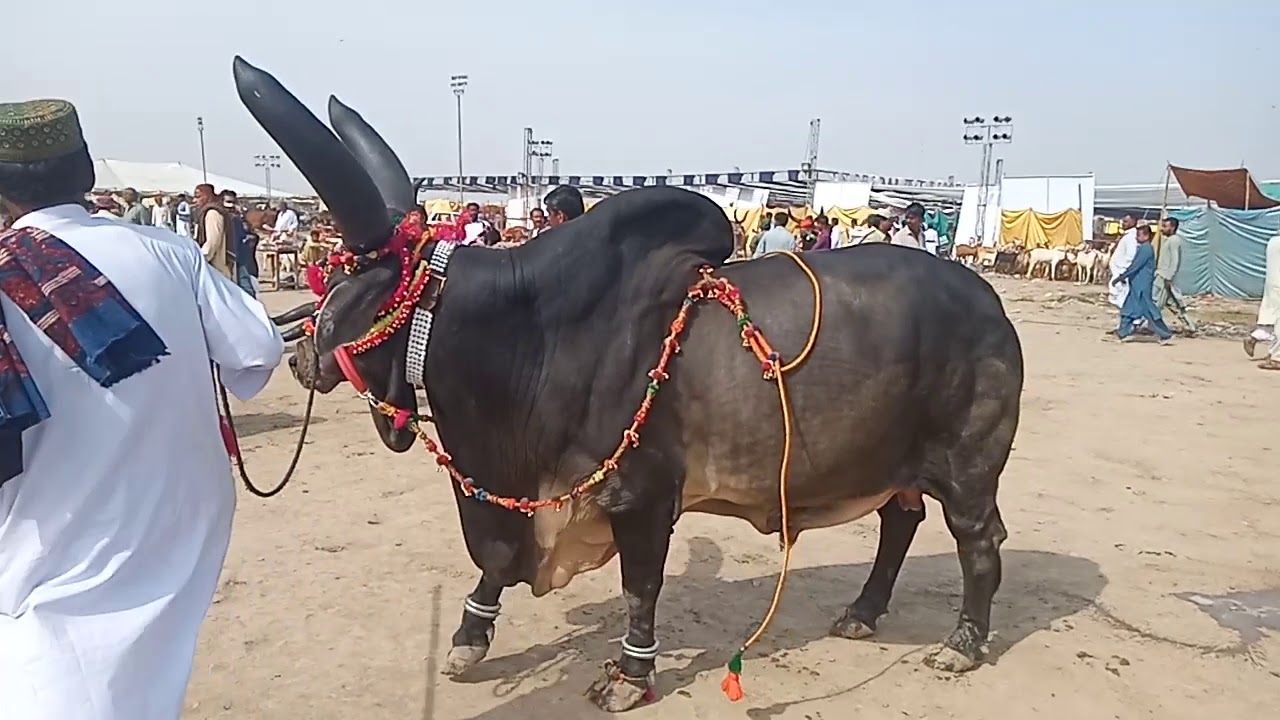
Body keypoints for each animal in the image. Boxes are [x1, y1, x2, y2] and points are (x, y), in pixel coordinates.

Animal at [236, 57, 1022, 712]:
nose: (300, 358)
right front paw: (469, 637)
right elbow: (496, 563)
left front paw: (629, 674)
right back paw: (863, 612)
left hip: (968, 465)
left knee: (978, 539)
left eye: (369, 294)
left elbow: (640, 587)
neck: (534, 336)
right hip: (895, 462)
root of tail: (989, 302)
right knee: (901, 521)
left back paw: (961, 643)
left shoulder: (641, 497)